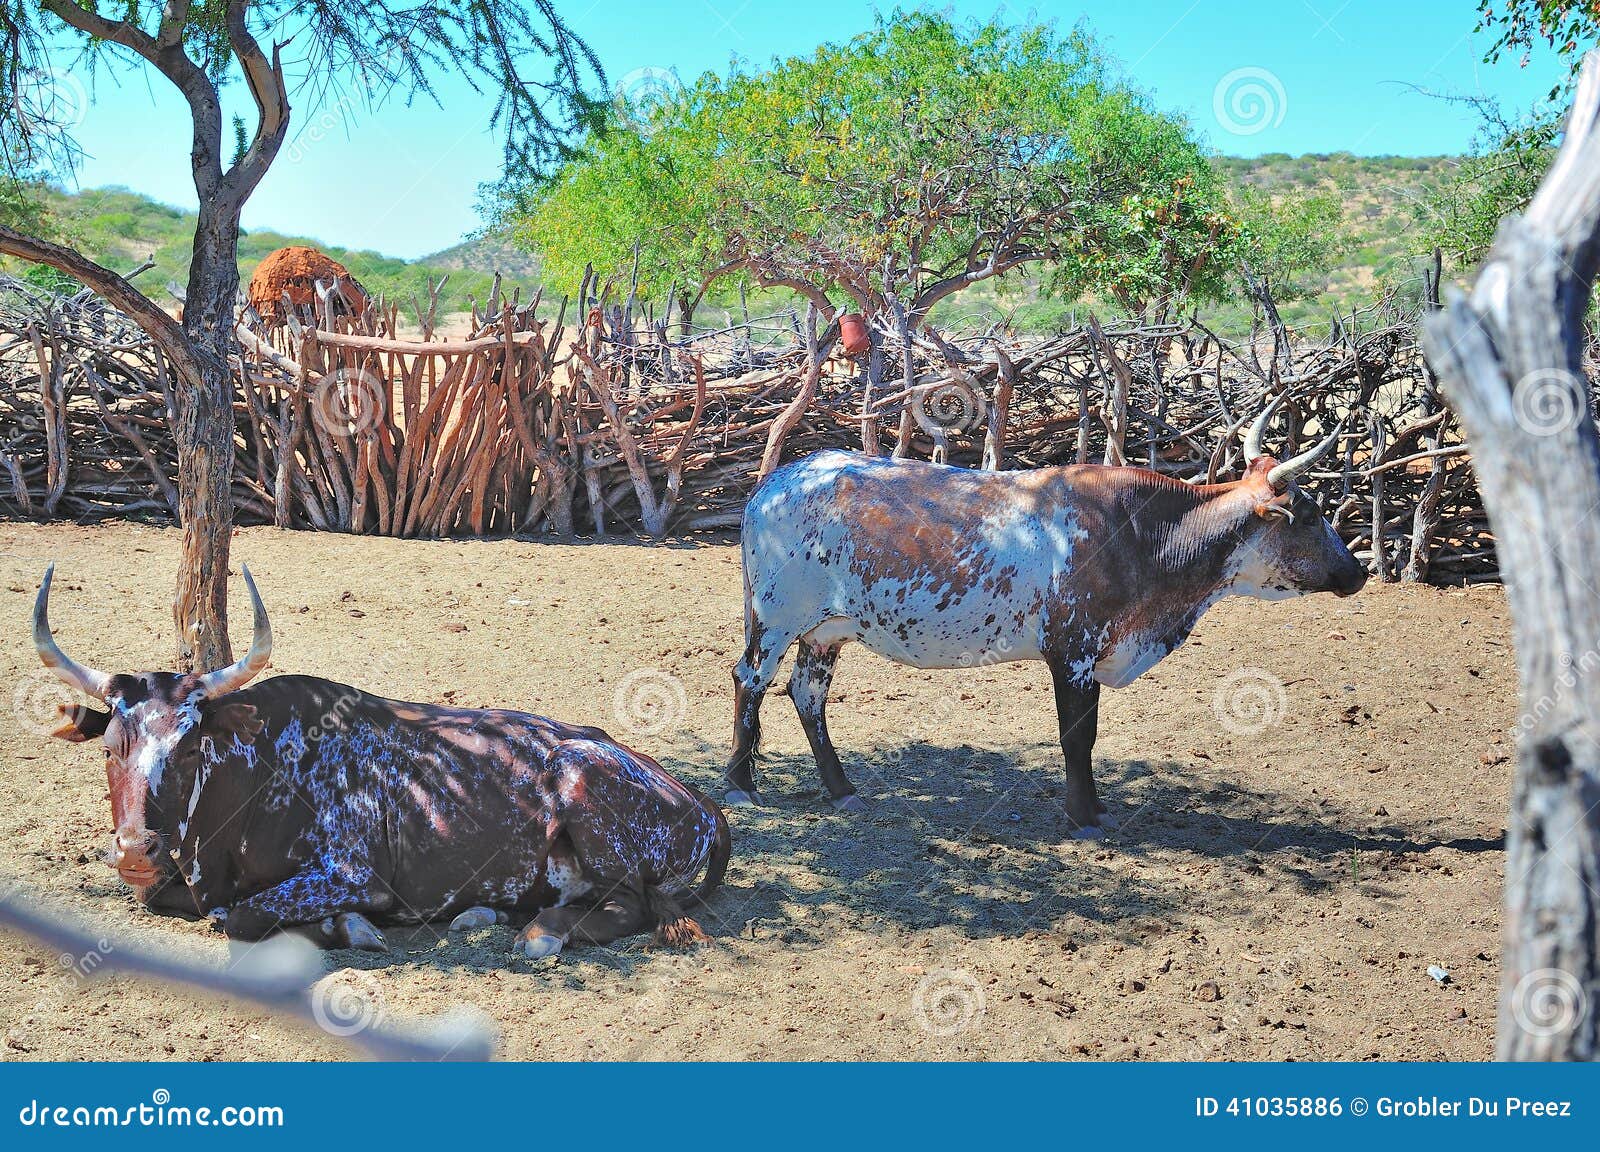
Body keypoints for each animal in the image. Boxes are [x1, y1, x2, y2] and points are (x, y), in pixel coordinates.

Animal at [32, 566, 729, 959]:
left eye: (189, 744)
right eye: (110, 747)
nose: (135, 849)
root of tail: (699, 802)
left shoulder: (354, 875)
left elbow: (243, 915)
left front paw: (351, 929)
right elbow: (176, 900)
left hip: (590, 804)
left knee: (631, 907)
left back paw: (540, 931)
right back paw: (489, 911)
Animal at [726, 393, 1367, 838]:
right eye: (1310, 515)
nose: (1357, 573)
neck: (1146, 534)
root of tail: (777, 481)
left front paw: (1095, 806)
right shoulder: (1074, 653)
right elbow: (1077, 737)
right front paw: (1084, 815)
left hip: (826, 631)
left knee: (807, 694)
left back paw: (841, 789)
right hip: (776, 619)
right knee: (750, 680)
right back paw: (738, 784)